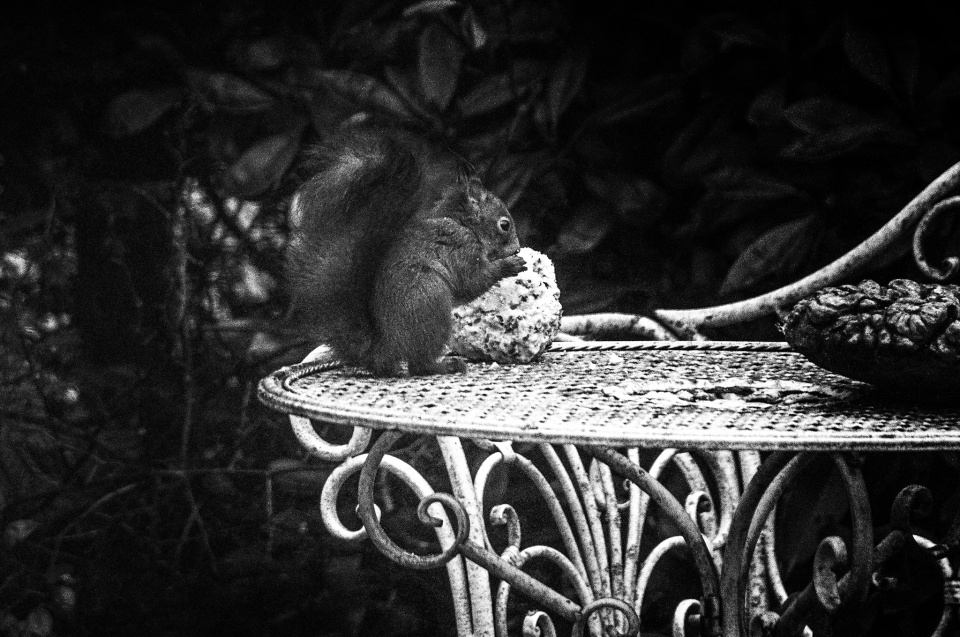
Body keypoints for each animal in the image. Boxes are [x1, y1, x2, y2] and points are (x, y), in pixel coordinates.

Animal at [286, 125, 525, 376]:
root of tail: (385, 349)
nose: (517, 248)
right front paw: (510, 265)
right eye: (504, 224)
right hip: (430, 299)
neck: (462, 224)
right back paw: (445, 365)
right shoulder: (459, 248)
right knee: (419, 365)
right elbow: (472, 281)